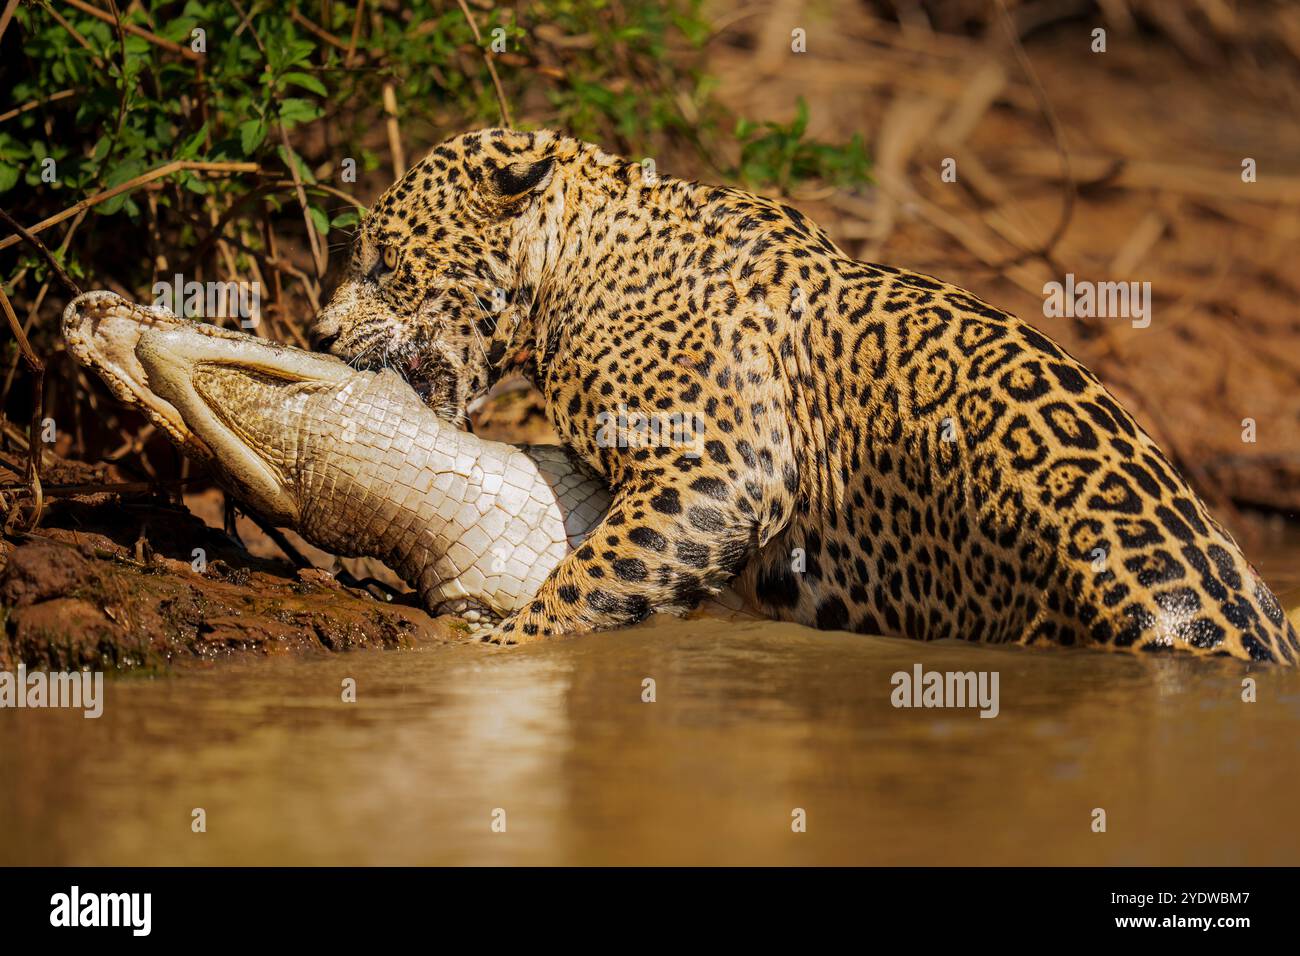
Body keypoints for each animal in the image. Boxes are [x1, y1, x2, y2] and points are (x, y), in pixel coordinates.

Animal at [310, 127, 1297, 663]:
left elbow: (598, 573)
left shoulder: (720, 464)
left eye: (383, 263)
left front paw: (499, 651)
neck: (580, 263)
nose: (315, 335)